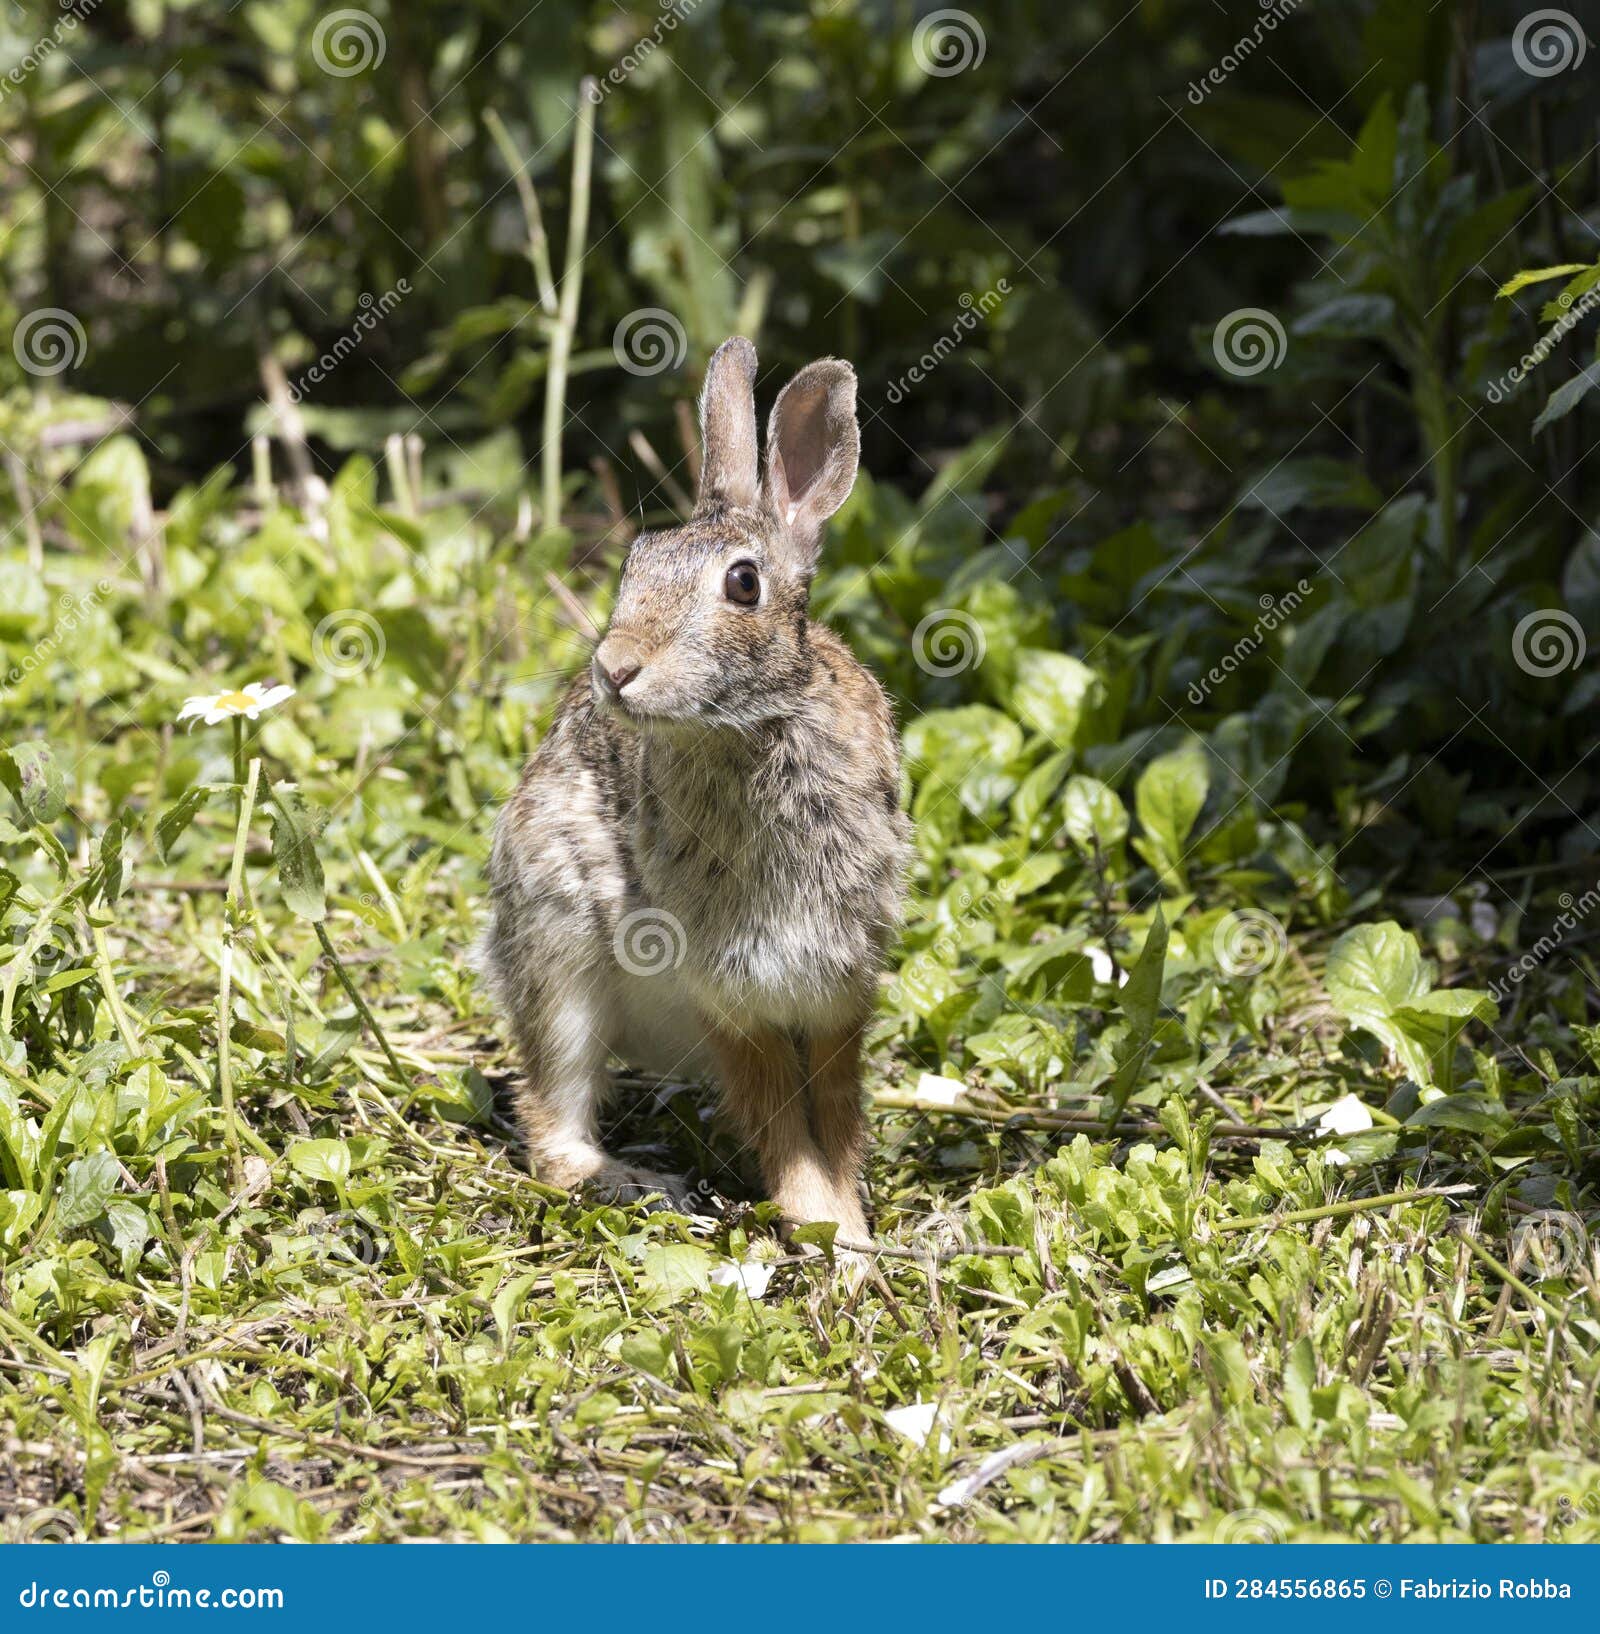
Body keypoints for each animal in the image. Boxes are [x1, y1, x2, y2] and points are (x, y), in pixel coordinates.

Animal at [479, 337, 910, 1246]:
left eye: (743, 584)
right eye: (634, 563)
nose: (614, 669)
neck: (754, 728)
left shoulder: (837, 991)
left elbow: (834, 1119)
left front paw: (852, 1233)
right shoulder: (733, 992)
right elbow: (783, 1129)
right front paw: (829, 1234)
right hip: (558, 952)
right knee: (552, 1116)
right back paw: (637, 1184)